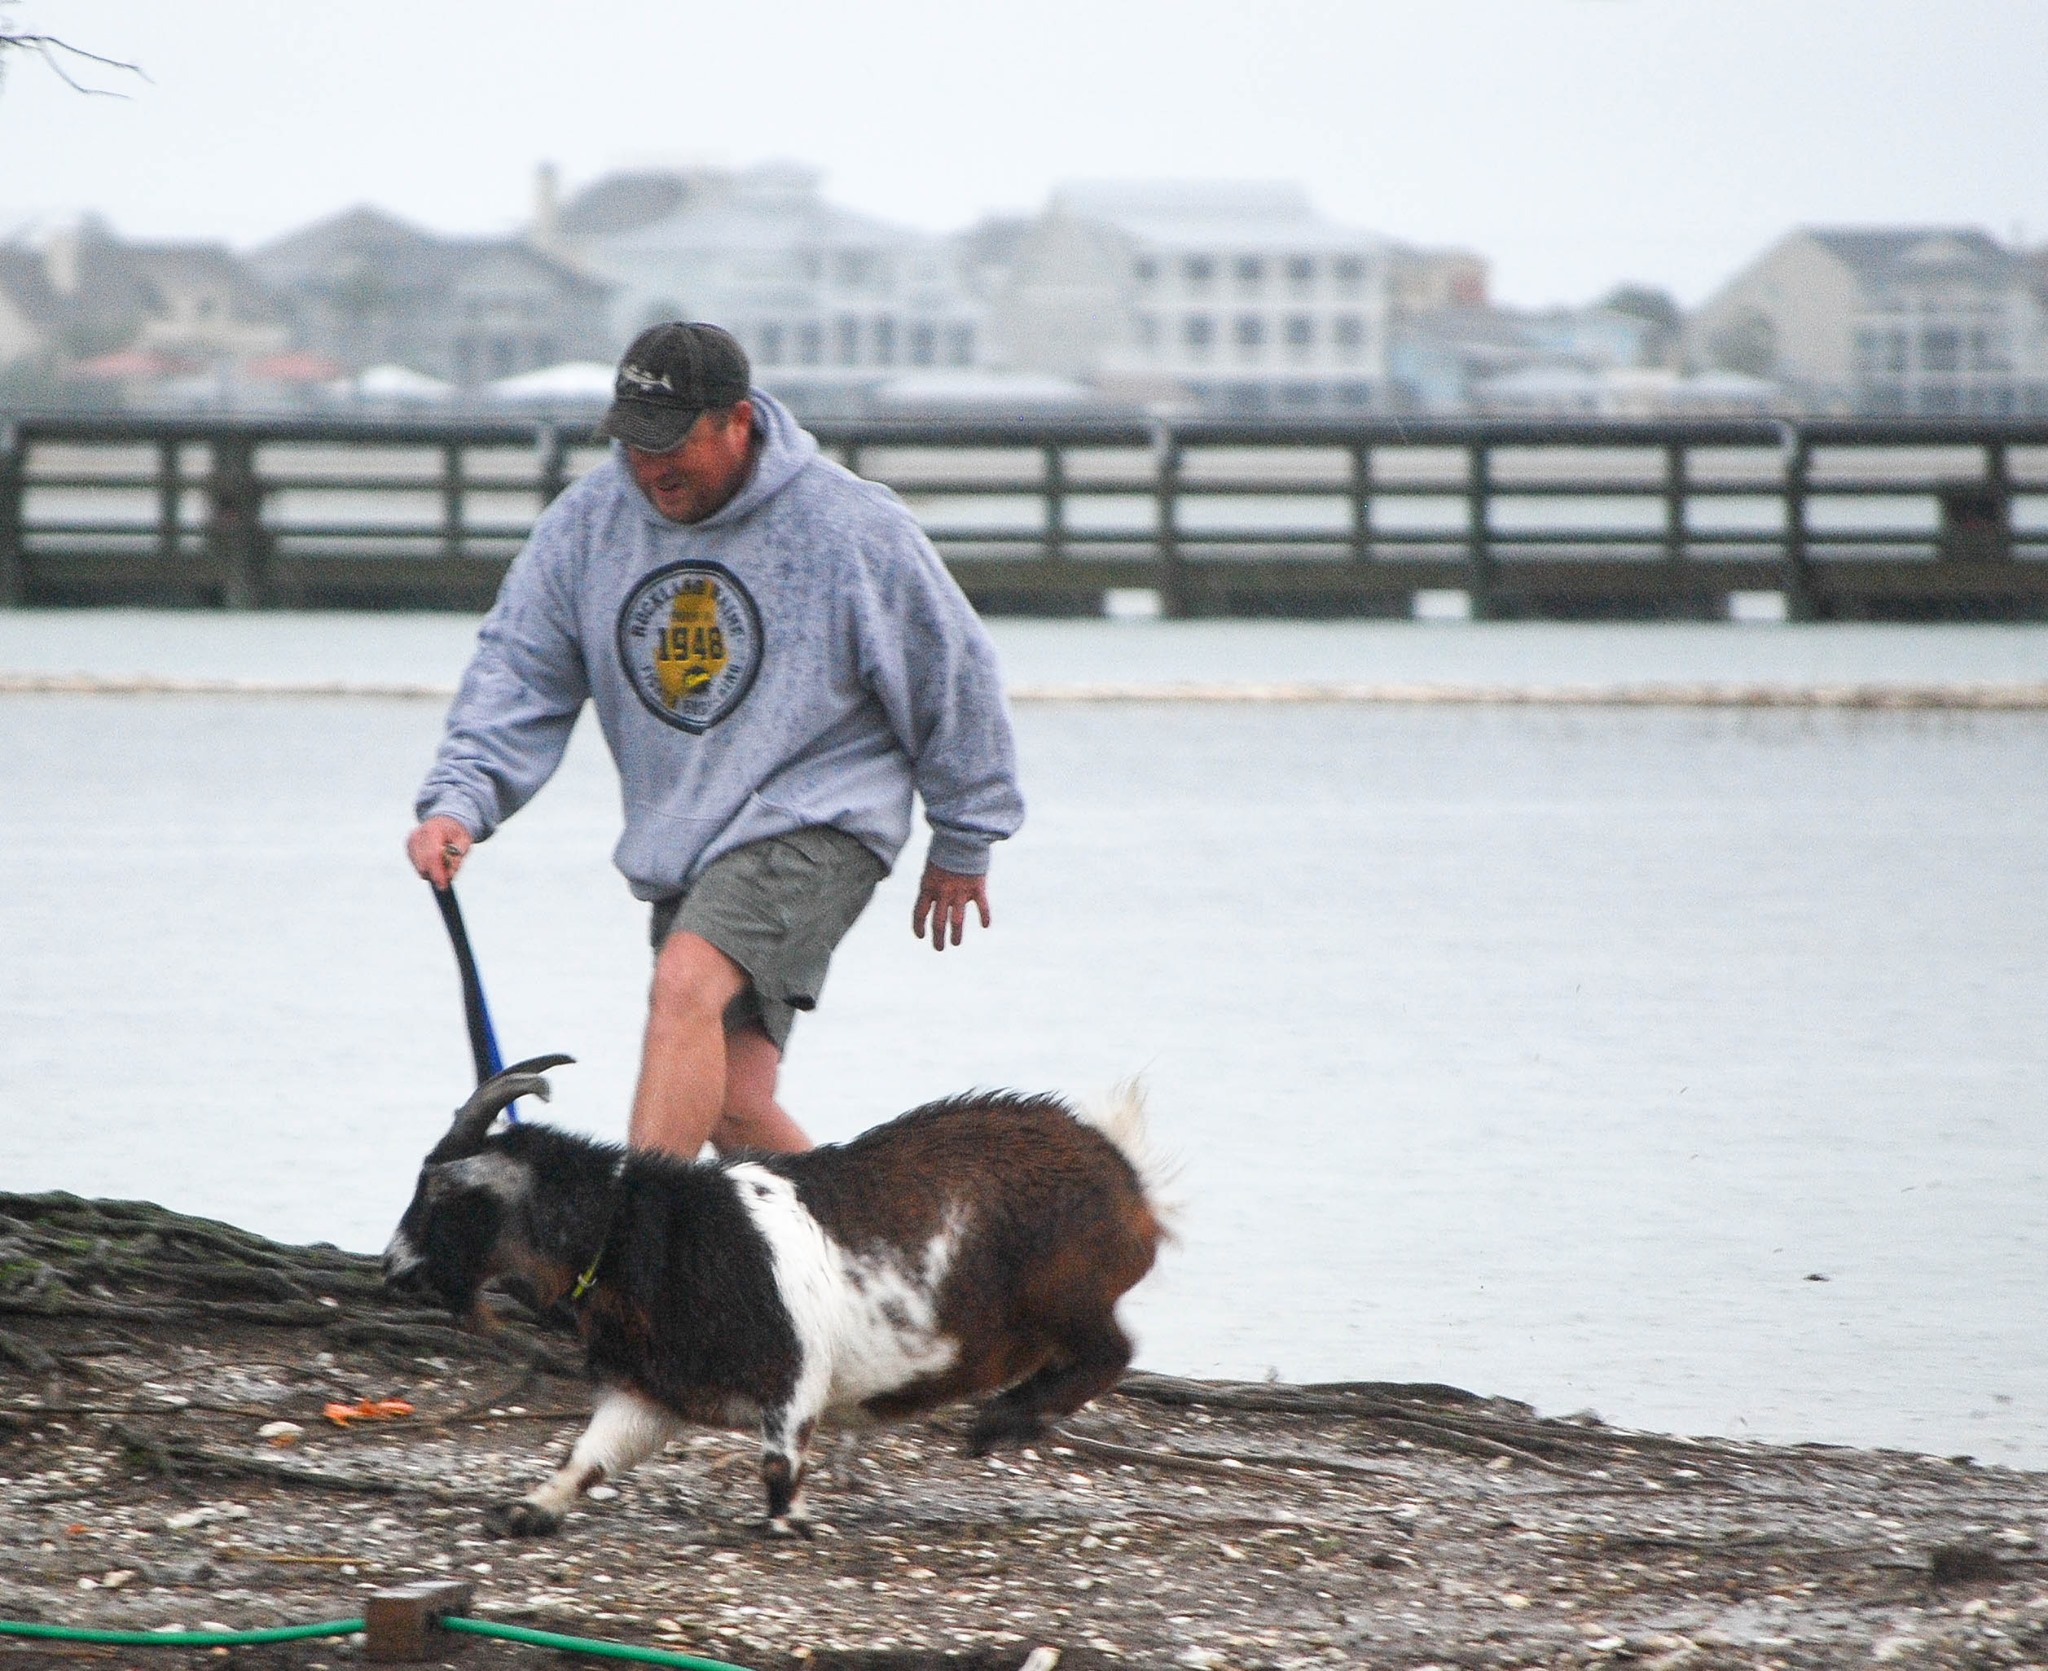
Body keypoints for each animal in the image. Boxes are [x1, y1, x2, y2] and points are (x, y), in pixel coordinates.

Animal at [383, 1055, 1166, 1538]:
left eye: (439, 1195)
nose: (391, 1270)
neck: (647, 1231)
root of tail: (1122, 1171)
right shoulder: (649, 1394)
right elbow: (590, 1454)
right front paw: (525, 1511)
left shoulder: (795, 1374)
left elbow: (779, 1459)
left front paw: (791, 1521)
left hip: (1068, 1299)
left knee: (1114, 1352)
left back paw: (998, 1423)